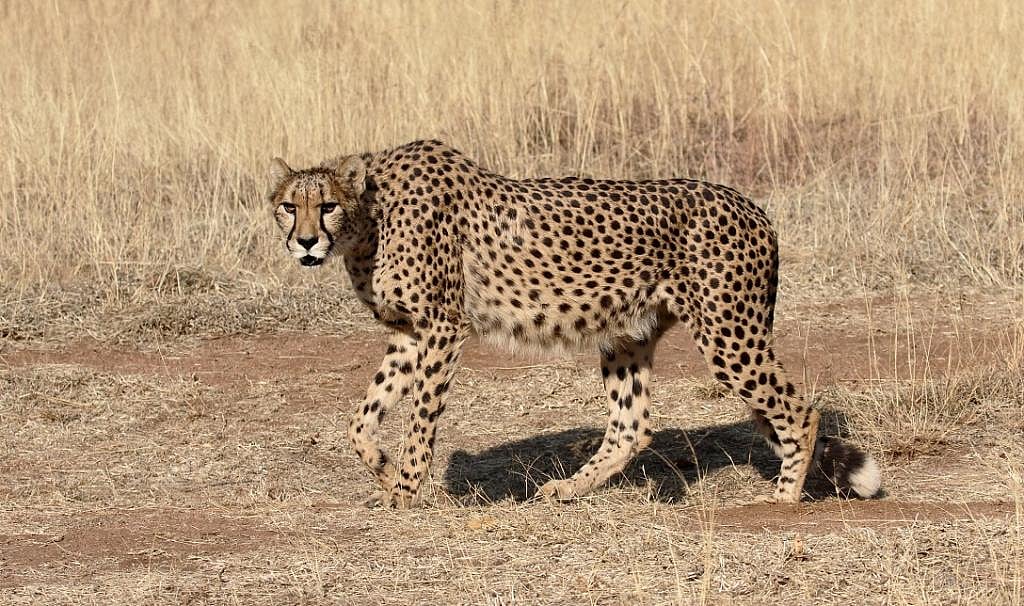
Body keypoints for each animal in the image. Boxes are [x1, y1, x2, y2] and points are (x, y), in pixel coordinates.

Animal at [267, 139, 881, 509]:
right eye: (287, 206)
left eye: (325, 205)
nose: (305, 242)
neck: (370, 220)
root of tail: (753, 206)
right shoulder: (409, 334)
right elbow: (361, 416)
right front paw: (382, 468)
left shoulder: (442, 327)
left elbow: (420, 418)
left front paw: (407, 488)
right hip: (627, 335)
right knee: (634, 425)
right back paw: (567, 488)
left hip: (730, 336)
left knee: (800, 409)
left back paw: (783, 498)